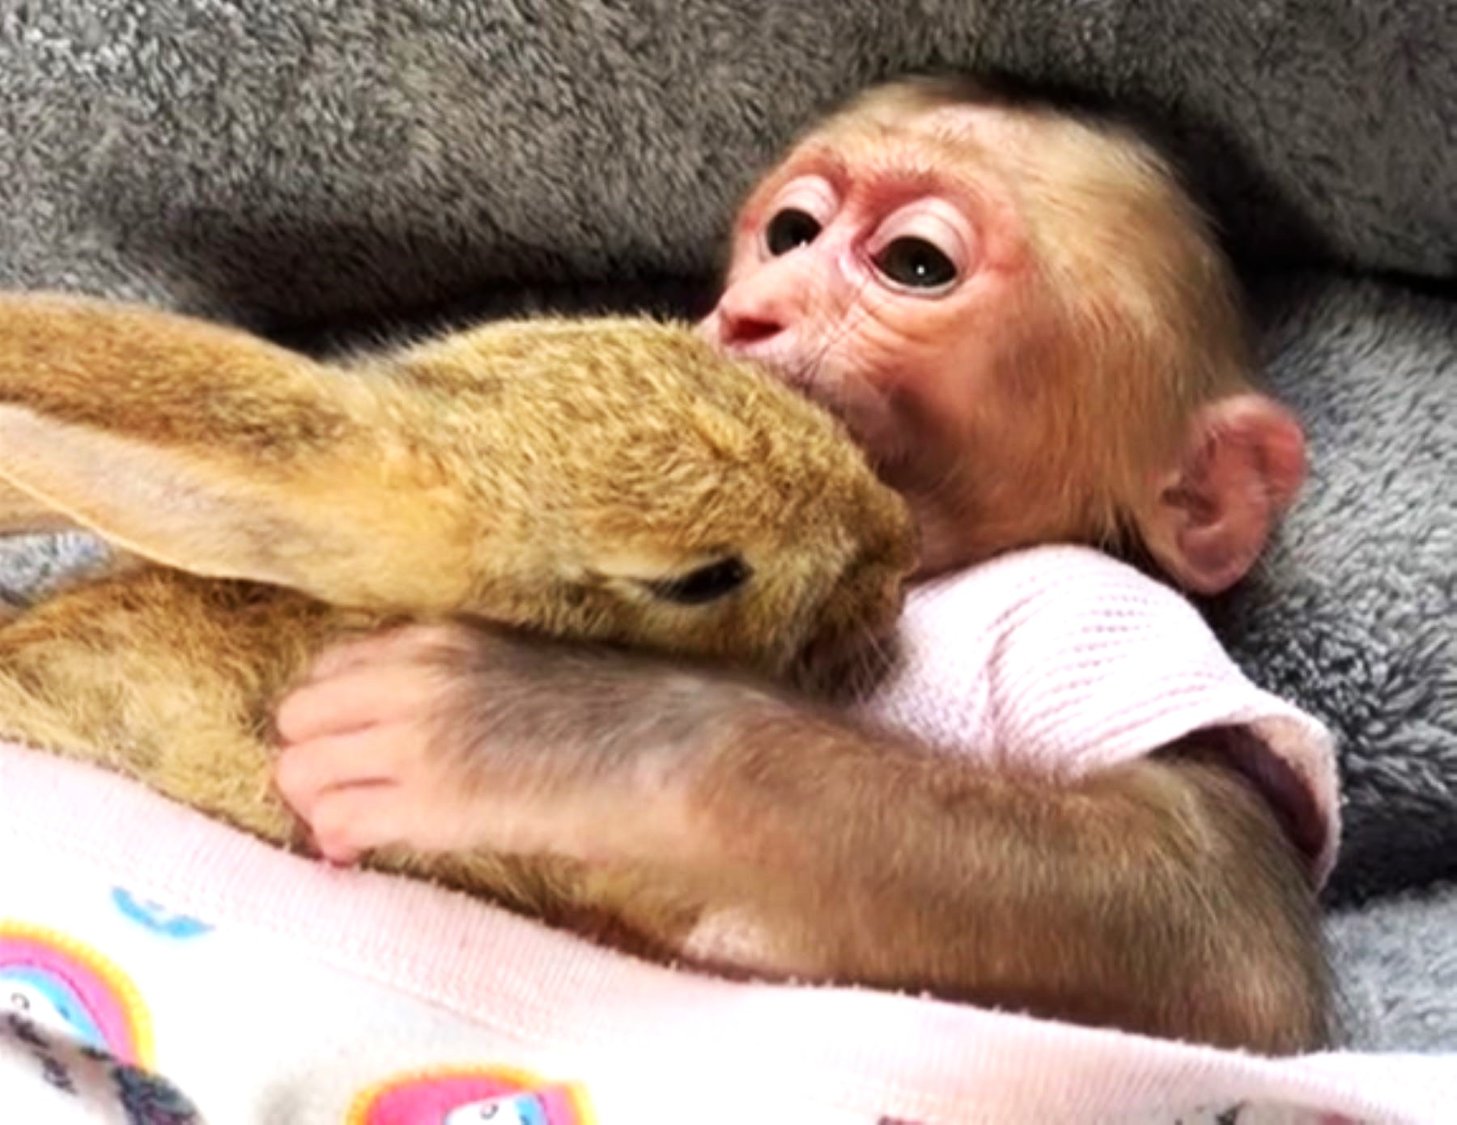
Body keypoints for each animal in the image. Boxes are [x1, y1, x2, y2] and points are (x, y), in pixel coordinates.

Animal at [271, 78, 1333, 1054]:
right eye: (789, 234)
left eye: (915, 263)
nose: (752, 311)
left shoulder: (1101, 618)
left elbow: (1220, 931)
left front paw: (545, 724)